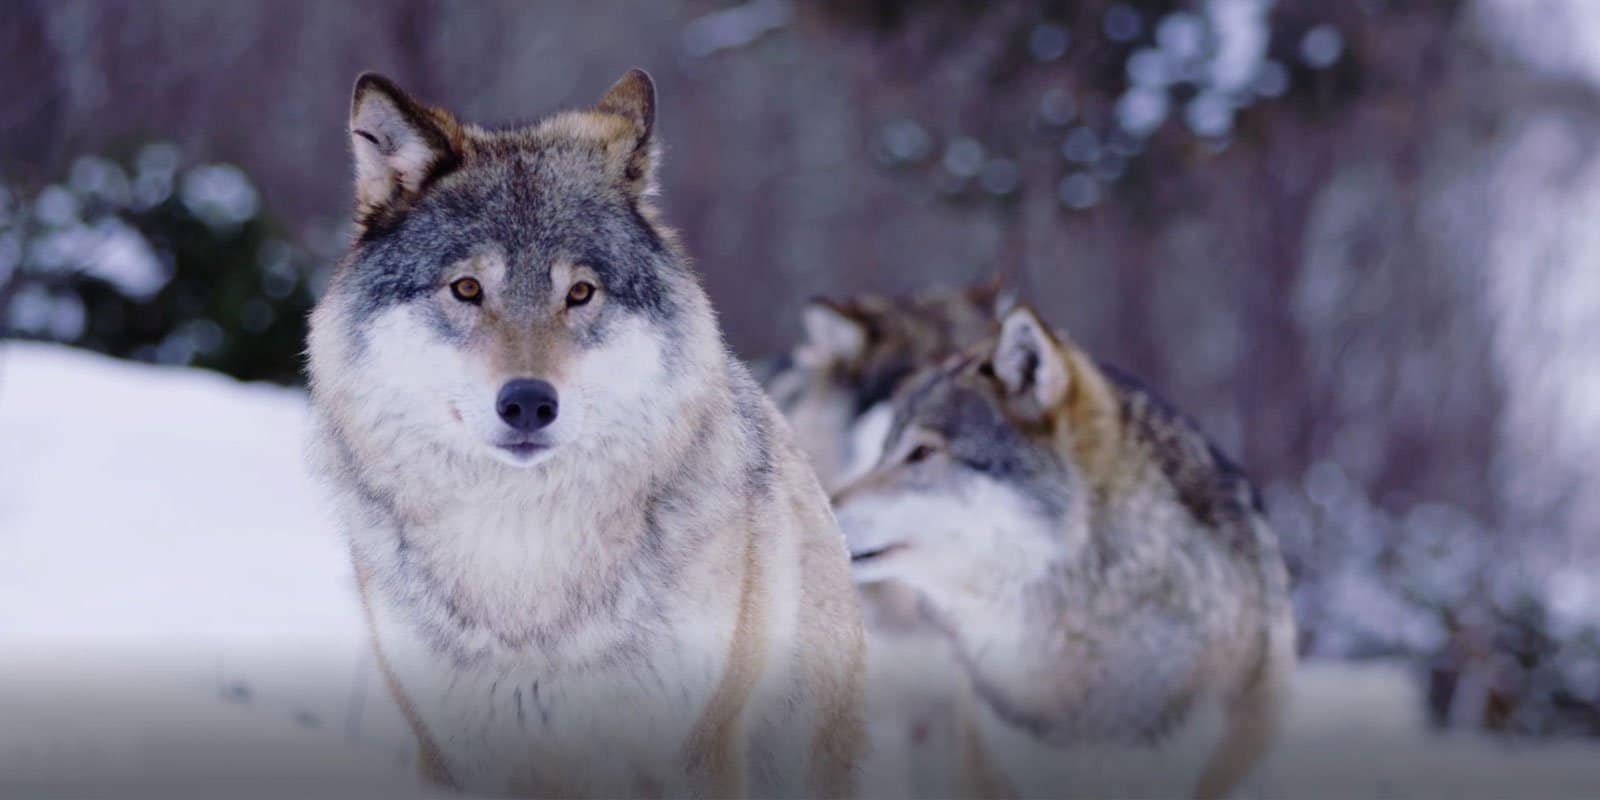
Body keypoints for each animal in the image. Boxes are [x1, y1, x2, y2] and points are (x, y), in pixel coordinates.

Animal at [305, 69, 865, 798]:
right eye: (466, 288)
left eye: (580, 293)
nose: (527, 404)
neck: (522, 559)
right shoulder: (452, 760)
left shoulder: (693, 755)